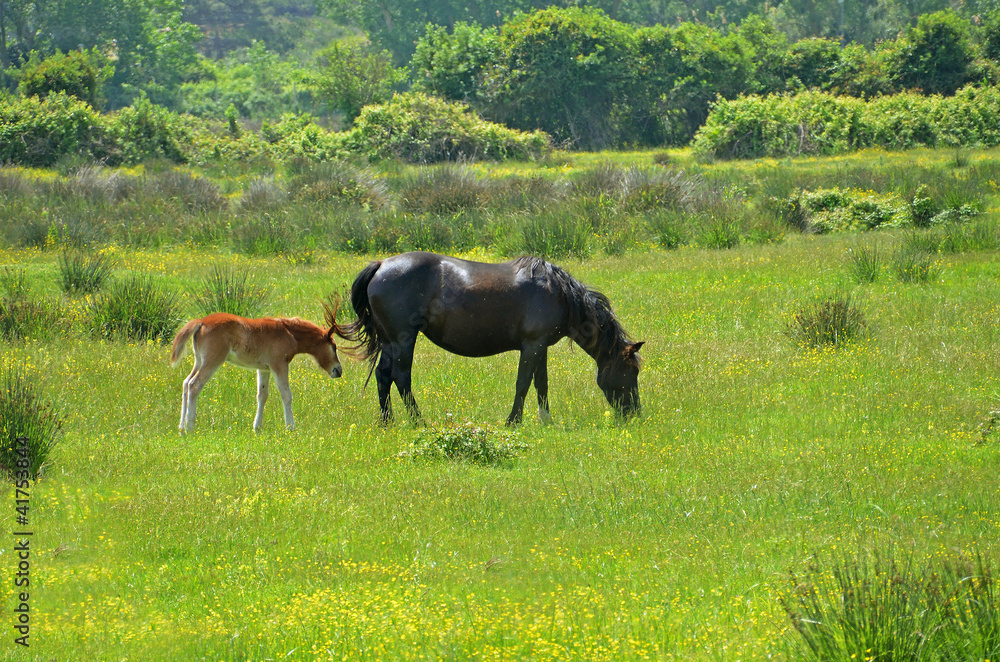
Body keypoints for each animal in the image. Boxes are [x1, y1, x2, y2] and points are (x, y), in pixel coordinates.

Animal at [170, 301, 344, 432]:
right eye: (334, 347)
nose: (338, 370)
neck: (288, 332)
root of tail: (202, 322)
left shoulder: (264, 368)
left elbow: (262, 395)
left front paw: (257, 427)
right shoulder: (279, 365)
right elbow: (286, 395)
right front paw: (291, 427)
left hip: (199, 360)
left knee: (186, 382)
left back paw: (181, 427)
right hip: (212, 361)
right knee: (194, 385)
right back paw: (190, 427)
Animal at [337, 251, 643, 425]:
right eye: (631, 371)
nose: (635, 414)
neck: (558, 293)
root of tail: (381, 265)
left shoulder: (540, 346)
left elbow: (541, 384)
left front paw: (546, 421)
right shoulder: (531, 345)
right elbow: (523, 384)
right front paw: (513, 421)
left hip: (390, 341)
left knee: (383, 375)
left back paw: (386, 422)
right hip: (403, 339)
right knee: (401, 377)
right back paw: (417, 422)